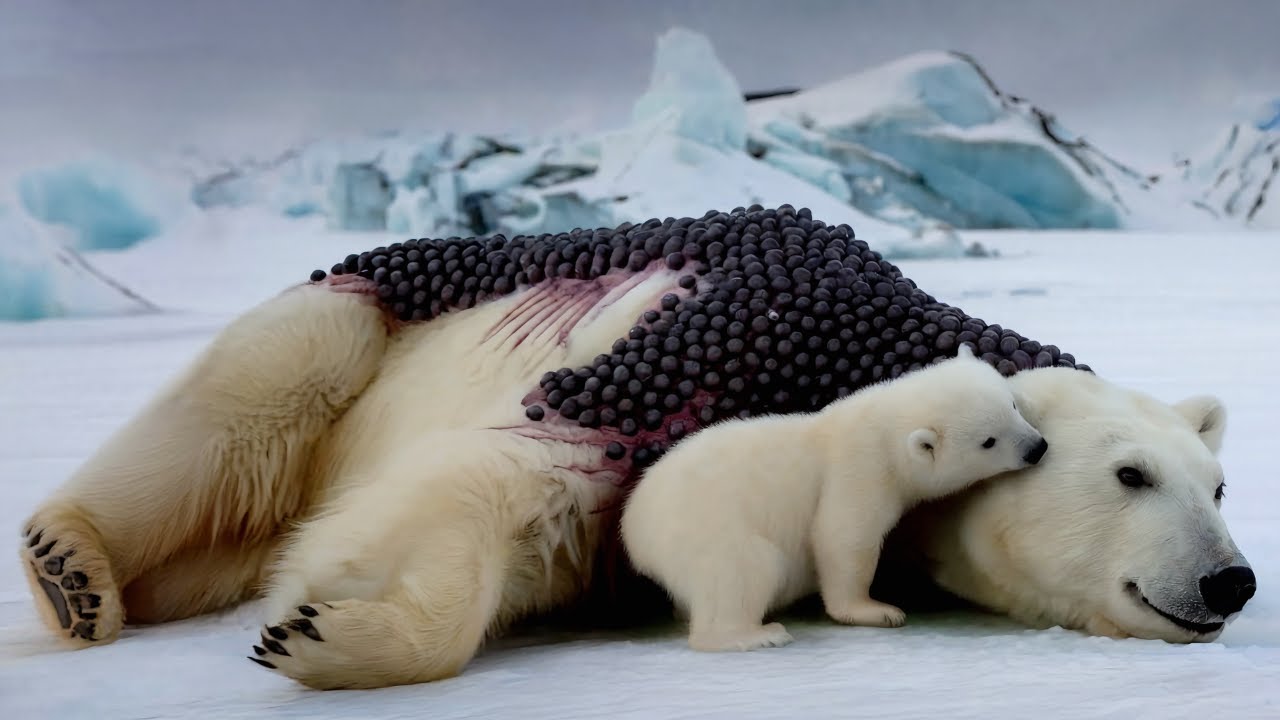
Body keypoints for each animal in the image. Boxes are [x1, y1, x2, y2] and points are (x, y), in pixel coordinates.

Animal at [620, 344, 1049, 653]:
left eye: (1011, 405)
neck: (878, 426)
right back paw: (756, 634)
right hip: (707, 530)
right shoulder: (858, 470)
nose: (1038, 447)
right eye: (988, 441)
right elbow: (843, 538)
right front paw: (876, 611)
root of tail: (634, 530)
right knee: (744, 568)